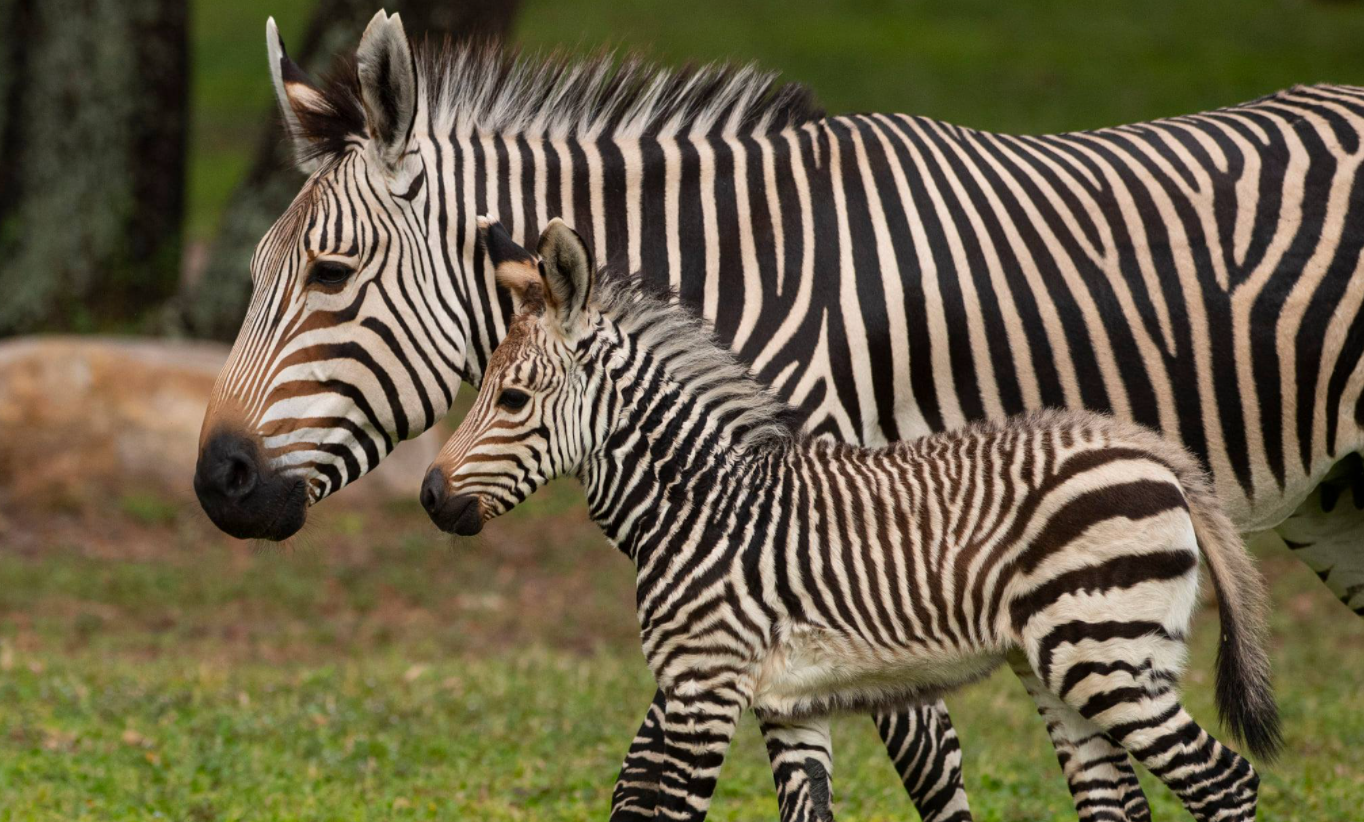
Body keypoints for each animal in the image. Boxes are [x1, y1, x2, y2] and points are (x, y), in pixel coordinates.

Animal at [422, 216, 1282, 822]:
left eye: (513, 399)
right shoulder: (783, 702)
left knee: (1227, 783)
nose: (430, 496)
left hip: (1107, 655)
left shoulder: (703, 689)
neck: (700, 503)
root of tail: (1151, 450)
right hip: (1066, 664)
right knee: (1119, 800)